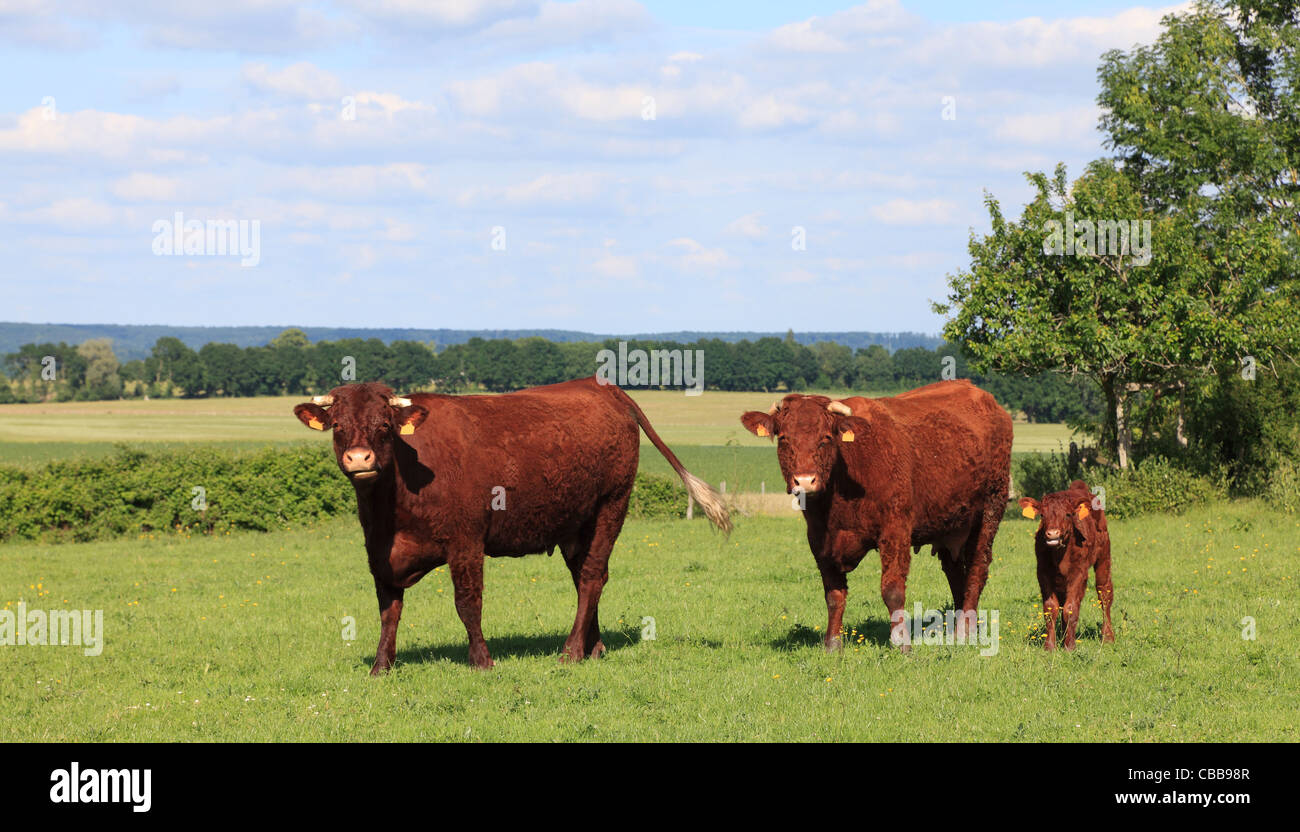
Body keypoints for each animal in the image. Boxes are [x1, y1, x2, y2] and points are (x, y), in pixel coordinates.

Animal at [294, 378, 731, 674]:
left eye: (384, 425)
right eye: (338, 426)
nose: (359, 458)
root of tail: (599, 386)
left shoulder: (466, 542)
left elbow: (468, 603)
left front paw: (481, 661)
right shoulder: (379, 552)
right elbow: (389, 610)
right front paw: (381, 666)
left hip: (611, 505)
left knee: (592, 577)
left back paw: (571, 652)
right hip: (576, 523)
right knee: (587, 578)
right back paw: (594, 647)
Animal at [740, 380, 1013, 651]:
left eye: (826, 438)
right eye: (784, 439)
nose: (805, 481)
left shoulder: (895, 530)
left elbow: (892, 590)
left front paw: (902, 644)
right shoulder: (819, 541)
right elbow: (834, 595)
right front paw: (832, 645)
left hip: (990, 510)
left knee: (977, 570)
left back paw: (965, 631)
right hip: (949, 525)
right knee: (956, 574)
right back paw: (957, 628)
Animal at [1017, 480, 1114, 650]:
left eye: (1068, 514)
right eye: (1042, 515)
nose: (1053, 534)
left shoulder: (1079, 572)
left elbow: (1070, 608)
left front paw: (1070, 646)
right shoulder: (1043, 572)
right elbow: (1051, 608)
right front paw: (1050, 646)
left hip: (1103, 557)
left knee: (1104, 594)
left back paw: (1108, 636)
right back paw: (1062, 636)